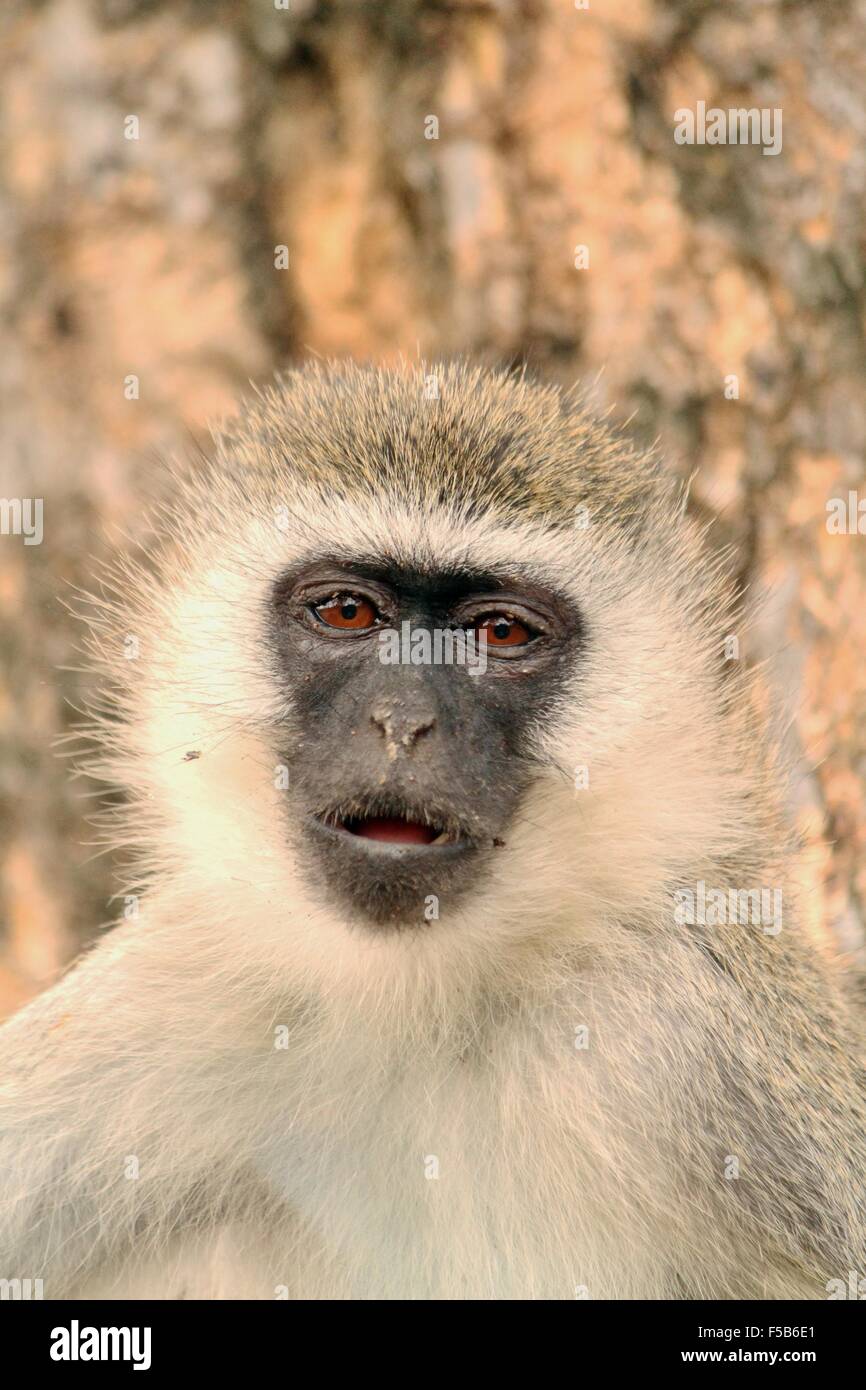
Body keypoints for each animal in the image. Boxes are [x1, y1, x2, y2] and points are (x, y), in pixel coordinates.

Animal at [0, 360, 864, 1300]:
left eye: (501, 632)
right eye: (347, 613)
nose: (403, 722)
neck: (420, 1002)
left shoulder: (696, 1034)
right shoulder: (161, 997)